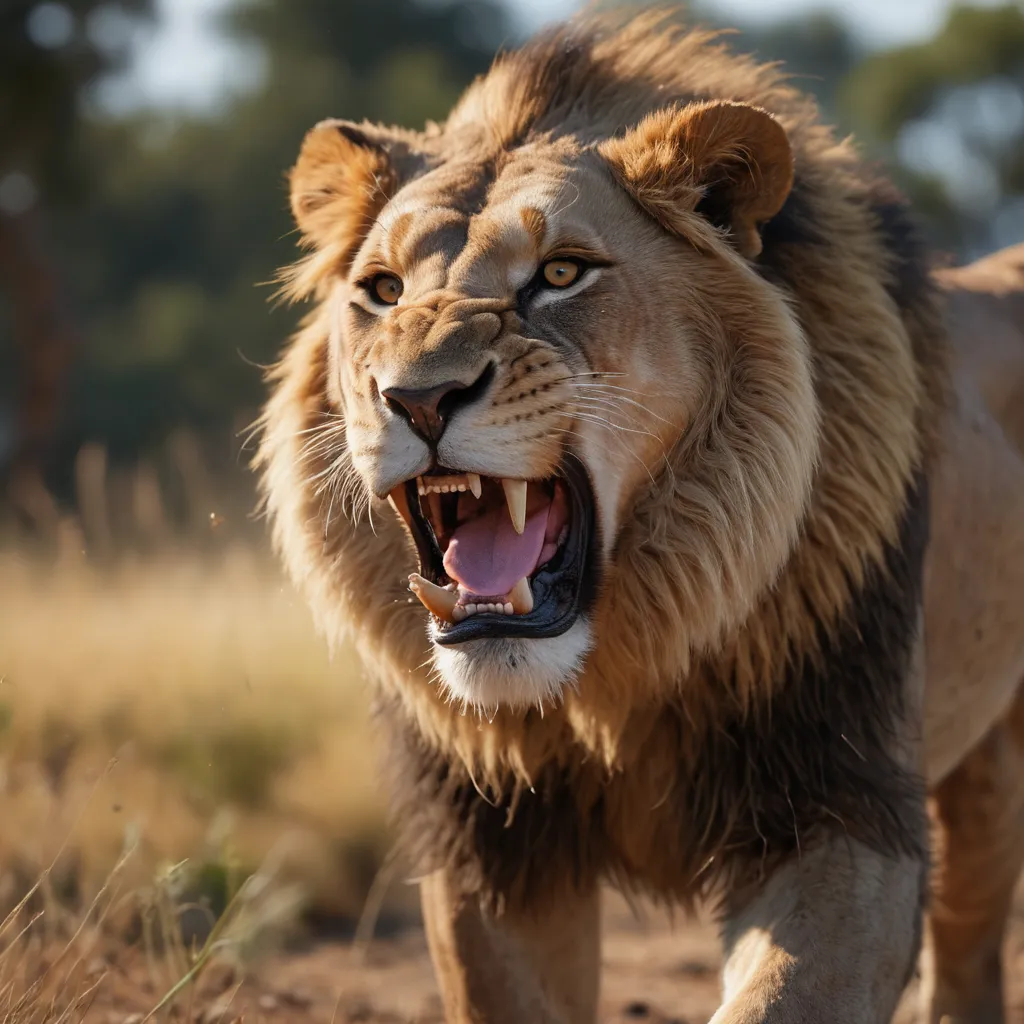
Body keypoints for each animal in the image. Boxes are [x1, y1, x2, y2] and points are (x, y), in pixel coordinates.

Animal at [255, 10, 1024, 1023]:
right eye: (382, 291)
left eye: (561, 273)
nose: (415, 398)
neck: (613, 673)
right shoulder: (496, 850)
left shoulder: (841, 808)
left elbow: (780, 996)